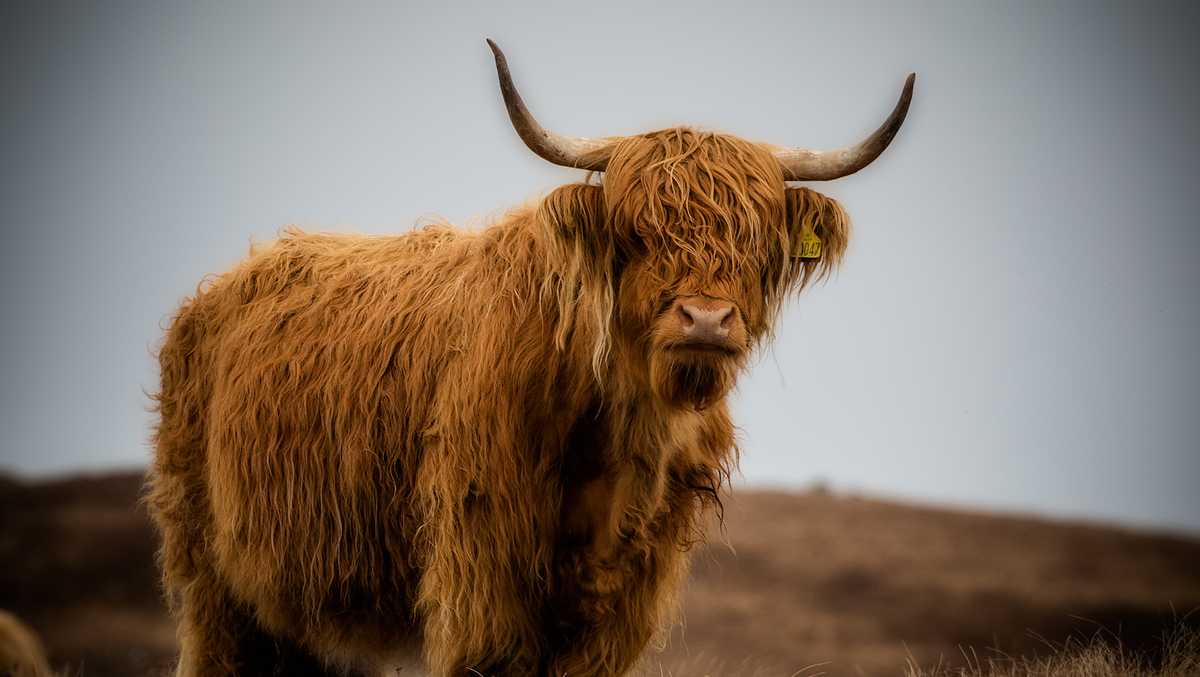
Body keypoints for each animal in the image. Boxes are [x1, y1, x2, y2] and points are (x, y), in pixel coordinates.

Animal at [146, 40, 914, 677]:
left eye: (754, 241)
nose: (705, 318)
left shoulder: (620, 606)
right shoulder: (481, 583)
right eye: (635, 234)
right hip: (215, 584)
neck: (619, 439)